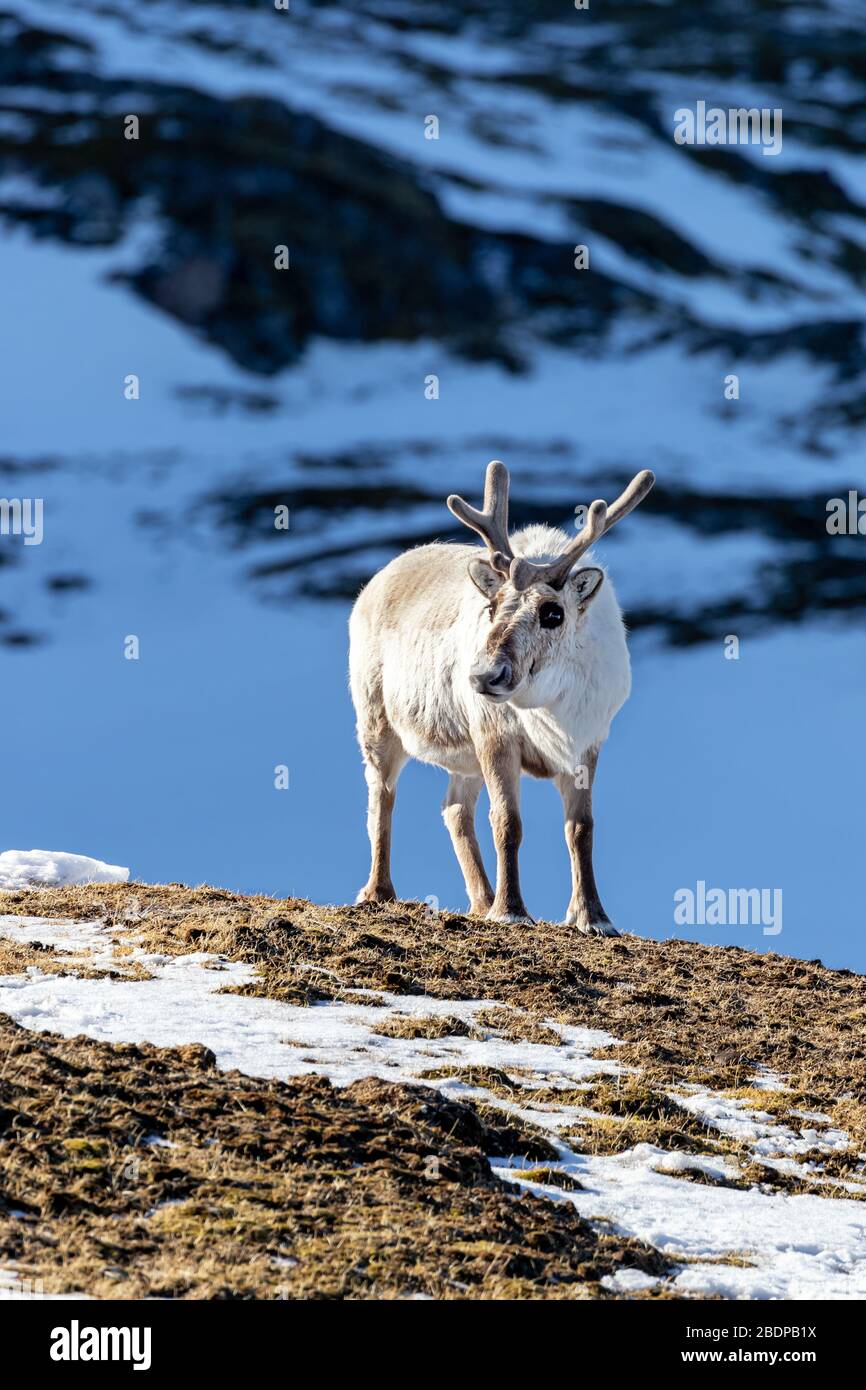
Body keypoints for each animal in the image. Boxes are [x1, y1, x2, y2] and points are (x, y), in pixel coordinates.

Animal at [348, 461, 654, 932]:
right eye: (491, 607)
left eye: (553, 613)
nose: (483, 675)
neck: (550, 710)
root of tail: (378, 580)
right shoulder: (495, 734)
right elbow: (507, 822)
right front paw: (511, 910)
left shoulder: (587, 742)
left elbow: (580, 828)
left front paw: (592, 916)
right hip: (377, 720)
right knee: (382, 796)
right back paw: (380, 891)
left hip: (464, 756)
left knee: (454, 808)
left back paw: (480, 900)